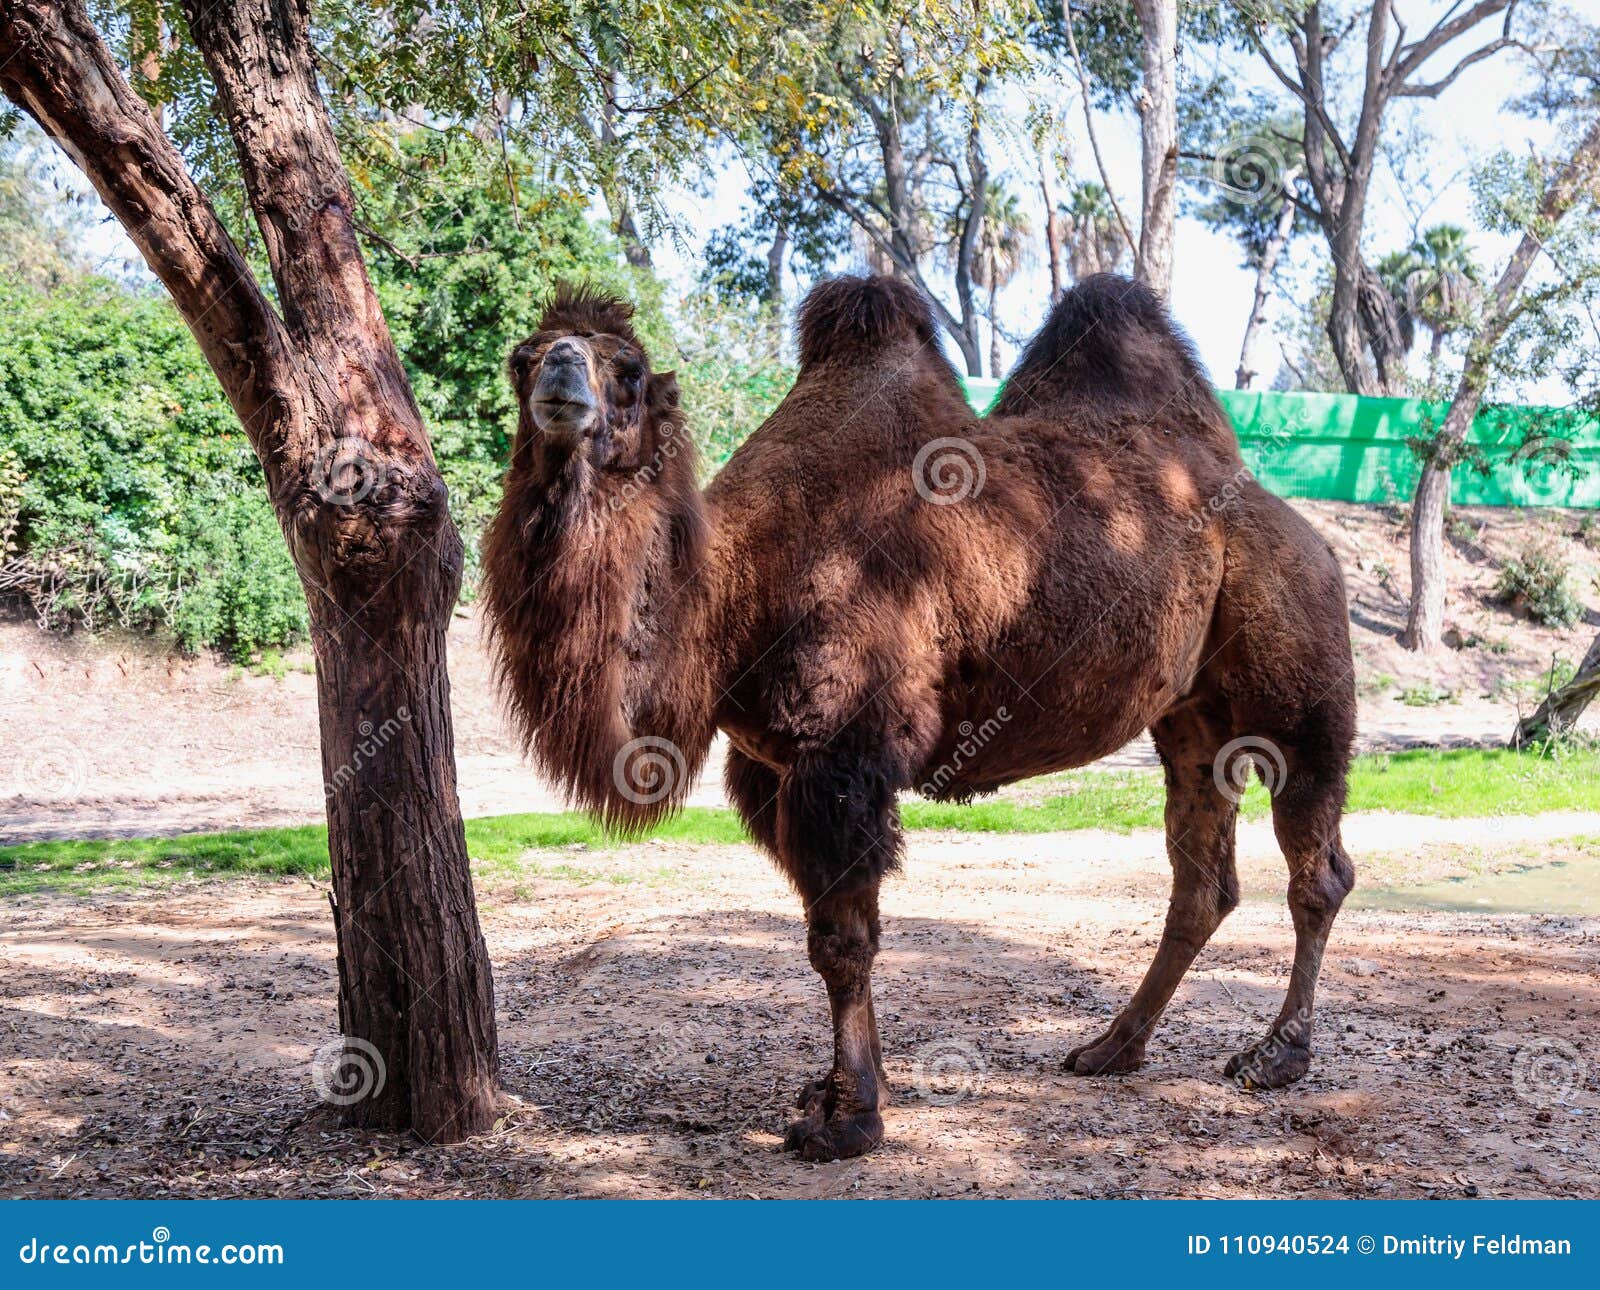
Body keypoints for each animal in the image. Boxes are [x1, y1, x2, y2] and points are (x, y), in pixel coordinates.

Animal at [481, 274, 1357, 1161]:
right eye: (521, 357)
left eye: (627, 369)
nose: (560, 373)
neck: (737, 592)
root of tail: (1286, 516)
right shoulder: (768, 770)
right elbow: (828, 930)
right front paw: (834, 1090)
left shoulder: (841, 754)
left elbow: (842, 943)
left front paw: (850, 1118)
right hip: (1190, 715)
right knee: (1202, 876)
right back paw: (1114, 1046)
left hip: (1297, 660)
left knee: (1317, 862)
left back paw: (1276, 1057)